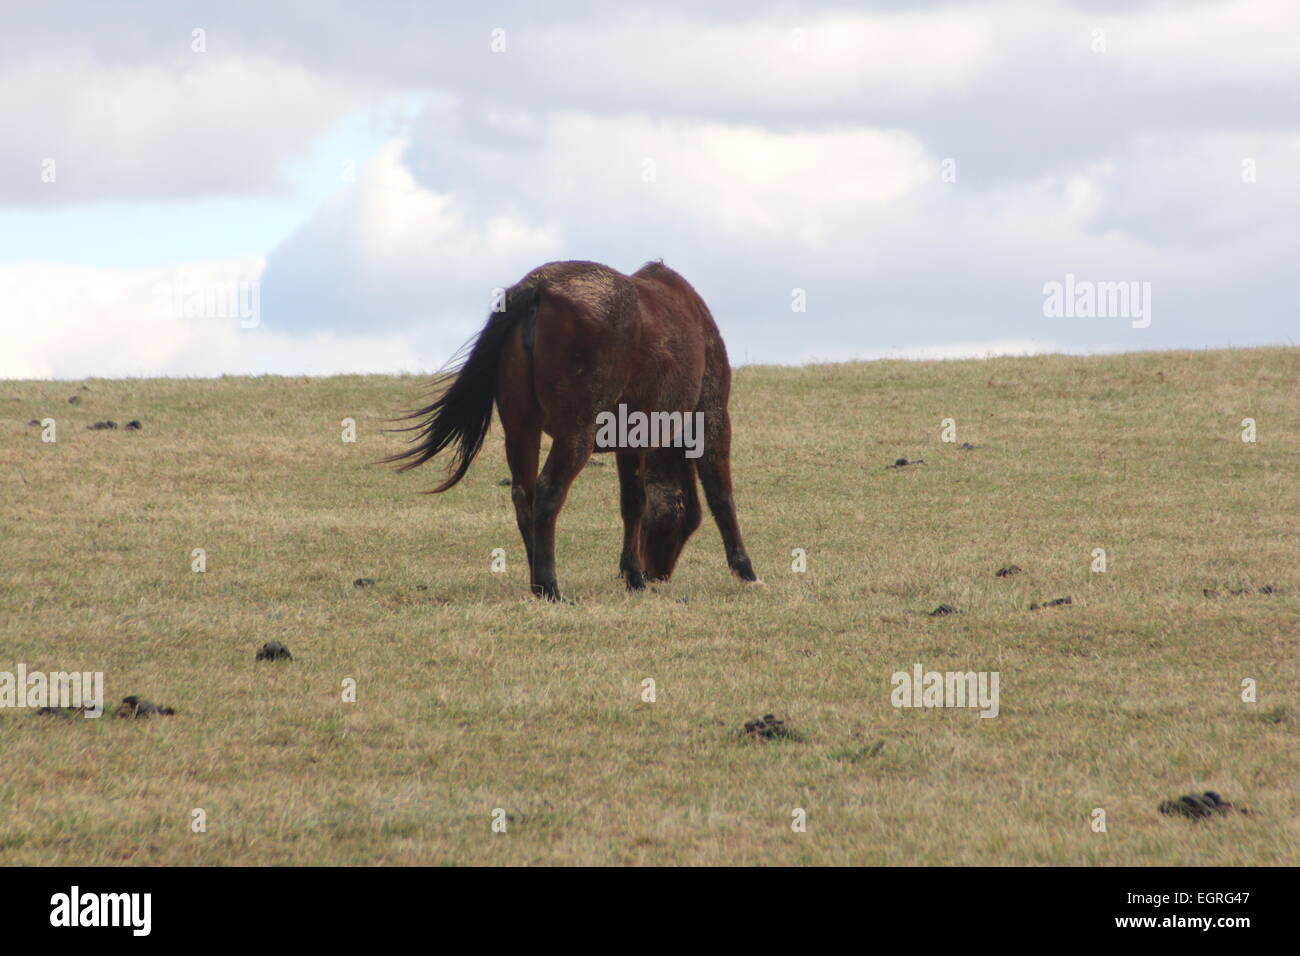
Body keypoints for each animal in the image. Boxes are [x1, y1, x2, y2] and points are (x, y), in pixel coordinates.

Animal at [384, 259, 759, 601]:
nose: (658, 573)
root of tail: (538, 286)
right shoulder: (711, 414)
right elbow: (720, 494)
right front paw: (746, 570)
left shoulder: (630, 439)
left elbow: (633, 502)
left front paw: (632, 575)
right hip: (576, 433)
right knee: (548, 491)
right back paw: (549, 586)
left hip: (521, 427)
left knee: (524, 495)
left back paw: (538, 581)